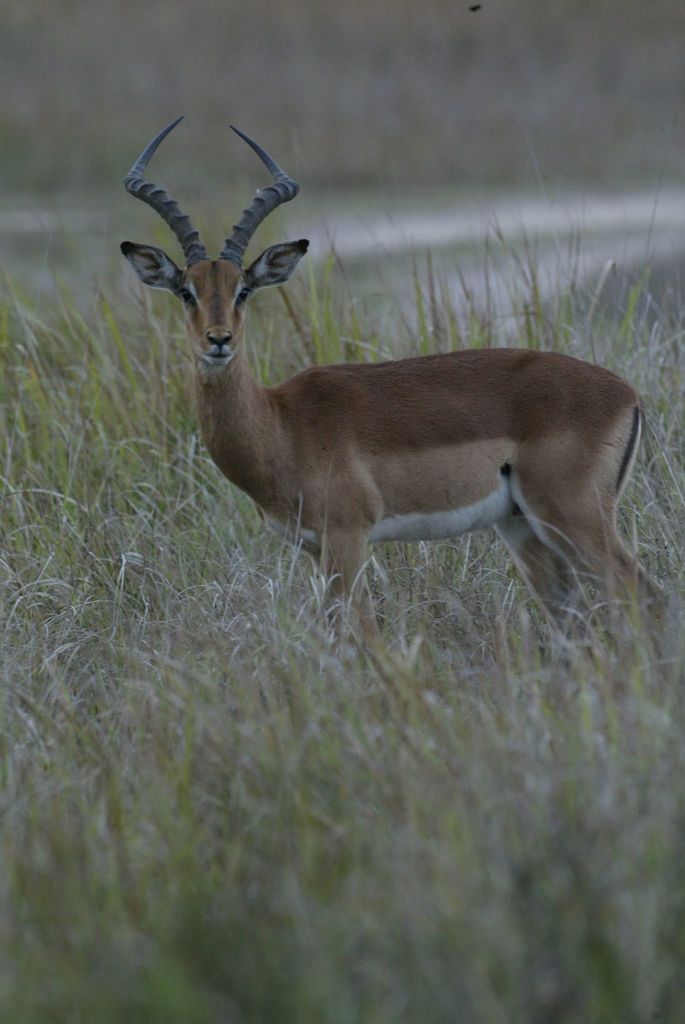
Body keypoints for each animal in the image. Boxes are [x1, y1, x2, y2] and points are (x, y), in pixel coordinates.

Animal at [121, 118, 659, 641]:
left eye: (243, 290)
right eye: (186, 291)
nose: (218, 340)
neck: (281, 424)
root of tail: (627, 393)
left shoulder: (347, 537)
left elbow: (361, 631)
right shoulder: (315, 549)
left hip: (572, 517)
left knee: (643, 595)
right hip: (522, 525)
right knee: (575, 617)